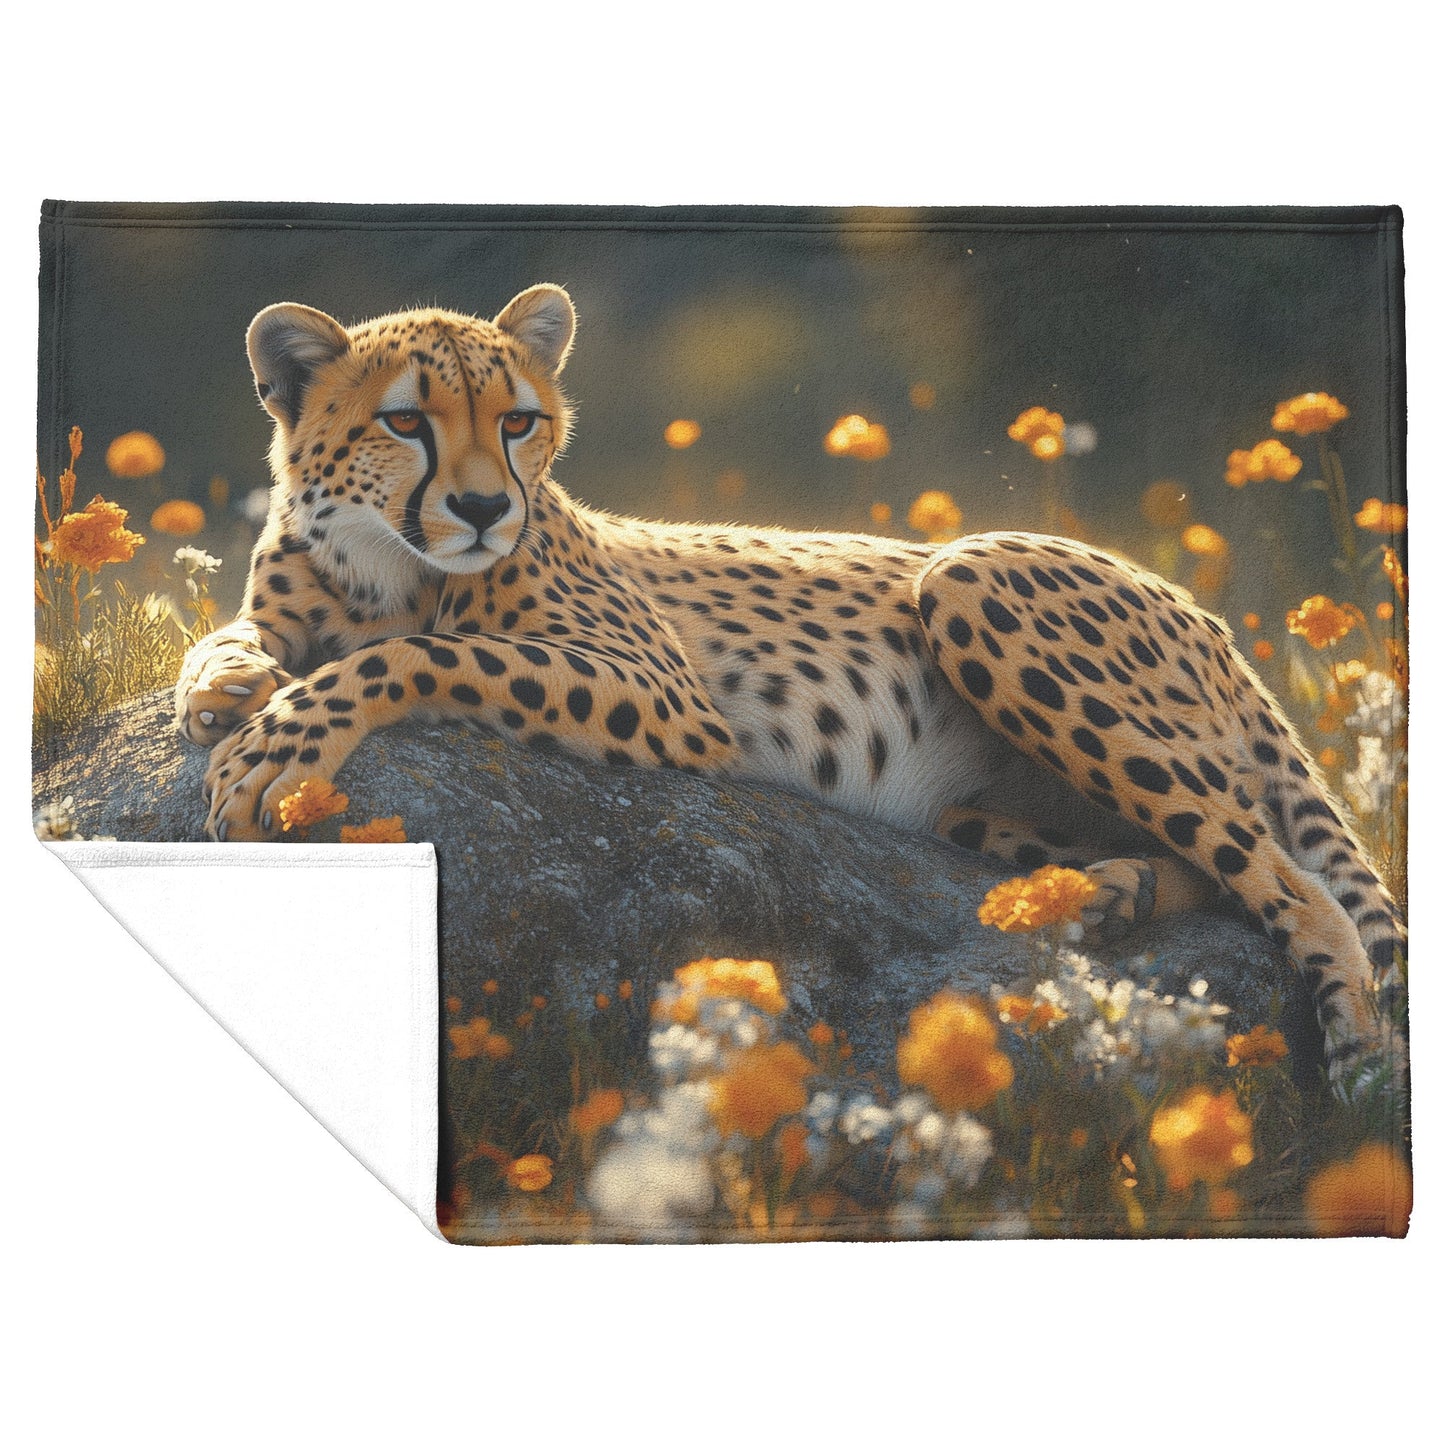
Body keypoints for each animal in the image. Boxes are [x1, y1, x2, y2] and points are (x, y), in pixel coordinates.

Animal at [175, 285, 1406, 1093]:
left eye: (517, 421)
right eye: (403, 420)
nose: (483, 510)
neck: (378, 564)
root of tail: (1206, 611)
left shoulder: (667, 697)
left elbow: (425, 656)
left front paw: (278, 747)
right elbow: (218, 635)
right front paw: (227, 680)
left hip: (970, 577)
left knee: (1297, 882)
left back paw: (1350, 1039)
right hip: (981, 803)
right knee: (1221, 860)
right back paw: (1108, 893)